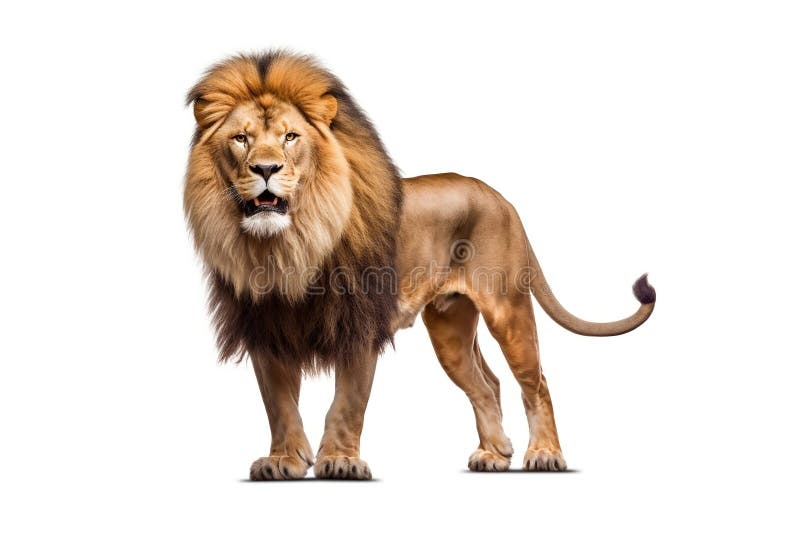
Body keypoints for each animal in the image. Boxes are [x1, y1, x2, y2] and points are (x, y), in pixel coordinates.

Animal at [184, 51, 655, 480]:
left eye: (290, 137)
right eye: (241, 138)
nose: (265, 168)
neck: (287, 246)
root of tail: (501, 198)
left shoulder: (360, 325)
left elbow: (347, 402)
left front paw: (340, 461)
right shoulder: (265, 329)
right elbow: (279, 404)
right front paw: (283, 461)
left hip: (507, 310)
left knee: (536, 382)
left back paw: (544, 455)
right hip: (450, 326)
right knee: (488, 383)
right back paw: (494, 454)